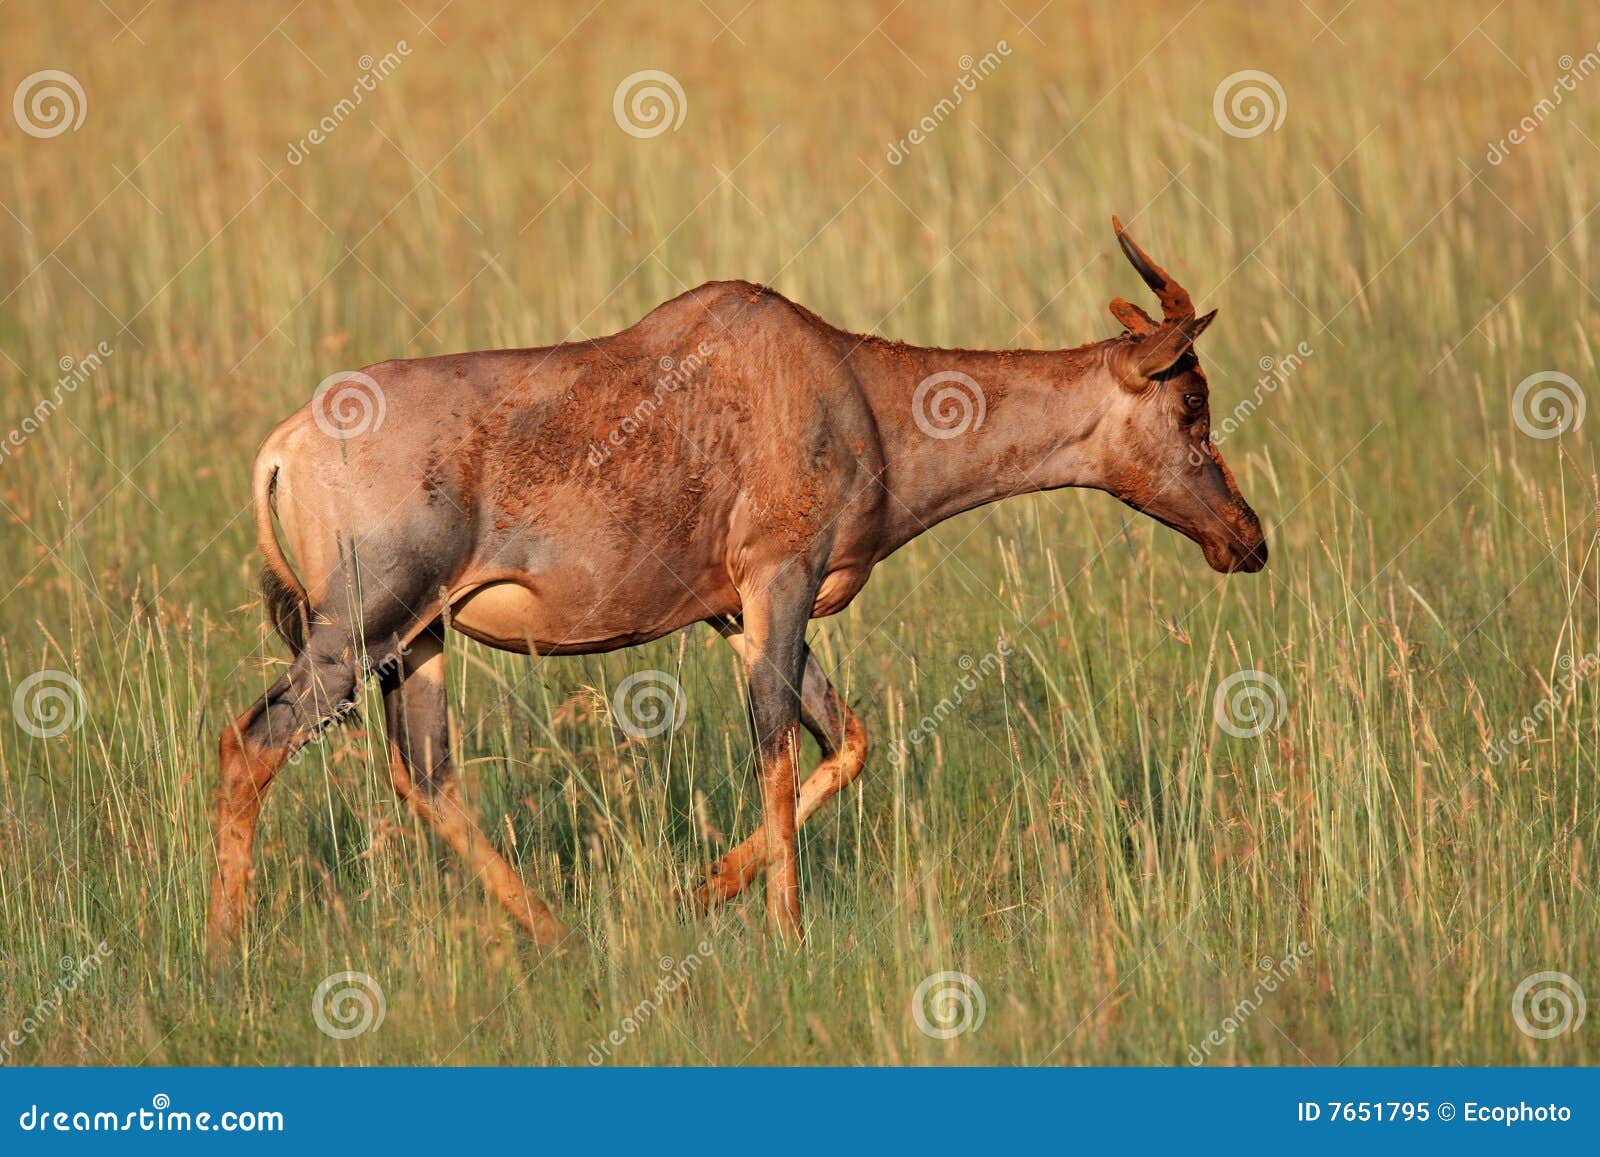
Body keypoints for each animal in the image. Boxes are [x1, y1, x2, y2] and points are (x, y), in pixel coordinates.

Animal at [208, 217, 1266, 950]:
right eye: (1192, 398)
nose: (1247, 540)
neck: (842, 380)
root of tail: (291, 439)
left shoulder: (735, 612)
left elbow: (848, 741)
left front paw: (700, 890)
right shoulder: (778, 584)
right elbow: (775, 749)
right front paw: (788, 934)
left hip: (417, 640)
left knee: (424, 775)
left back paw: (559, 937)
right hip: (358, 630)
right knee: (253, 740)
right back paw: (227, 952)